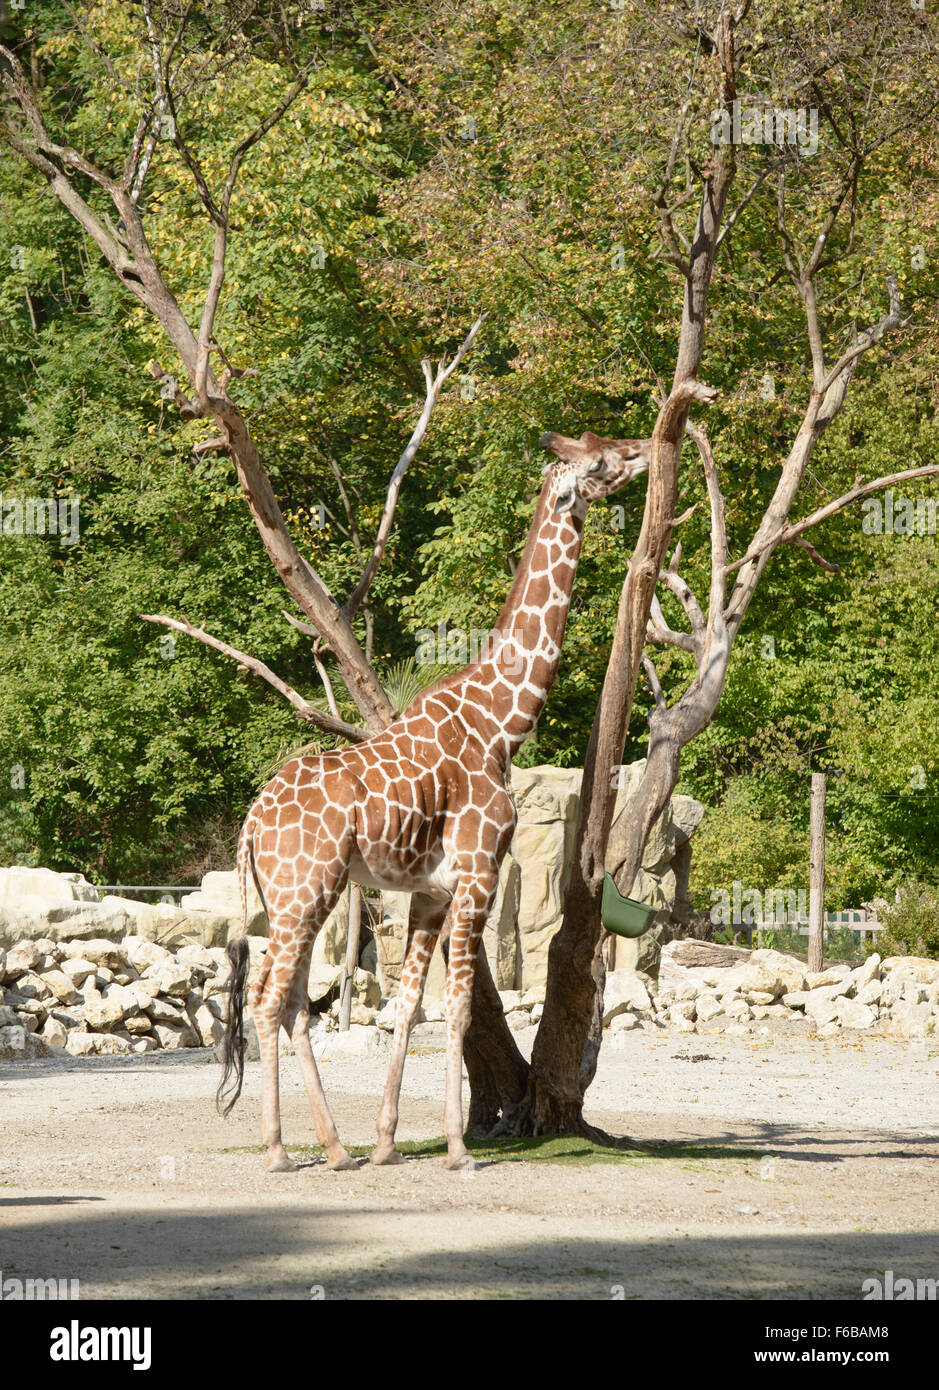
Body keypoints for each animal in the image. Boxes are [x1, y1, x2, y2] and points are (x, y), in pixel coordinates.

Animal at [217, 429, 651, 1172]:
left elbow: (411, 1004)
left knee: (289, 998)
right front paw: (455, 1147)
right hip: (307, 890)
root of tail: (250, 824)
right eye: (599, 461)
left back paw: (336, 1148)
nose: (645, 448)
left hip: (294, 897)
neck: (502, 723)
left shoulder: (431, 891)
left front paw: (388, 1142)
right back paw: (277, 1150)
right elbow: (463, 1007)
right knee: (270, 999)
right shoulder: (479, 873)